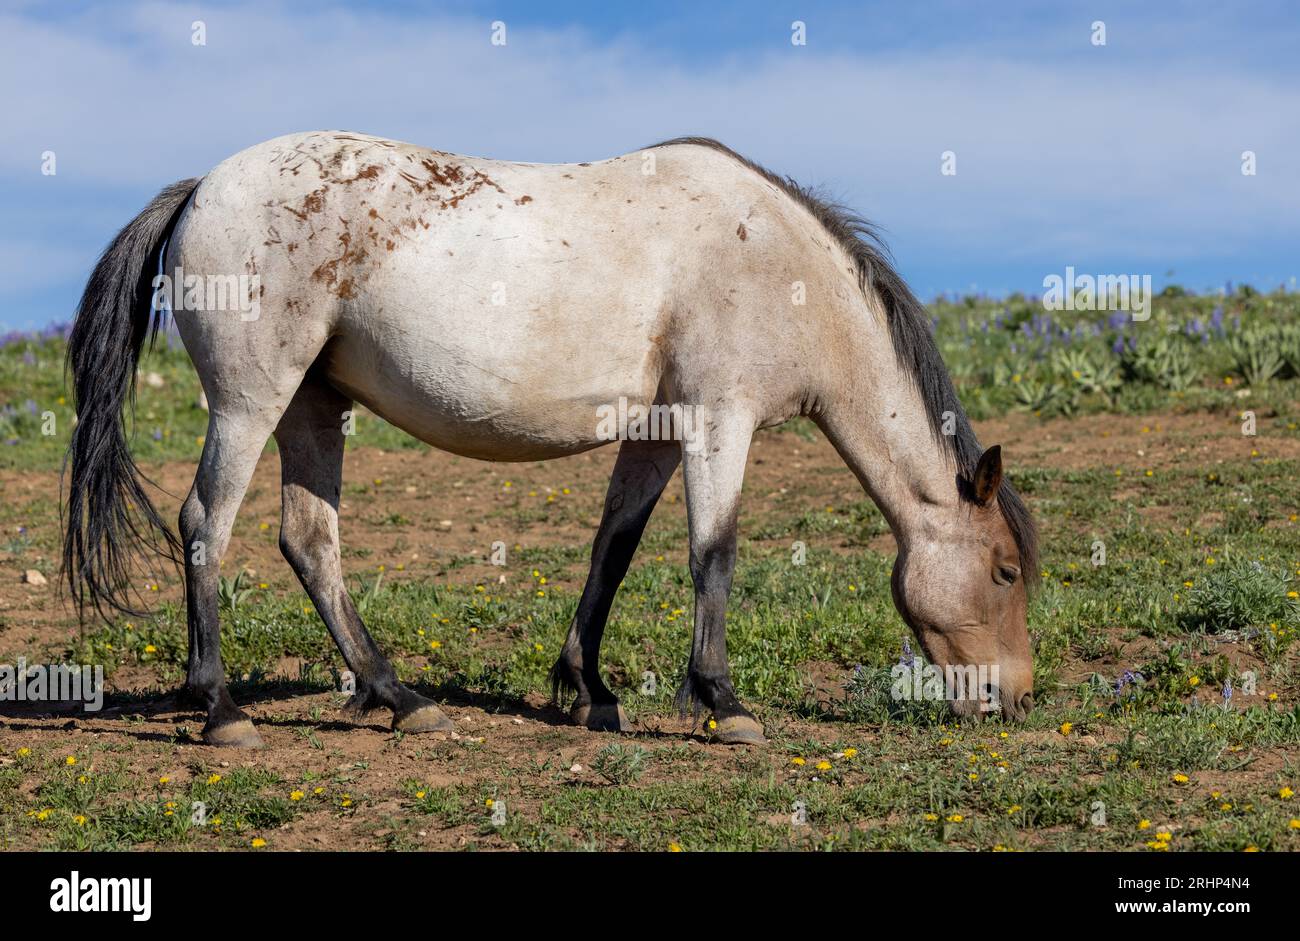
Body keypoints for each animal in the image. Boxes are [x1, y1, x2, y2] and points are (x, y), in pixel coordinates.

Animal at [62, 132, 1038, 748]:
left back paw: (400, 698)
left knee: (309, 541)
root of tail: (200, 188)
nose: (1014, 697)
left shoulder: (657, 431)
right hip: (250, 400)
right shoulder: (718, 420)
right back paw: (222, 710)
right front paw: (723, 701)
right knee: (205, 524)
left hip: (313, 406)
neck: (779, 266)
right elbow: (713, 554)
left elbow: (615, 548)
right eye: (1004, 571)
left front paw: (588, 690)